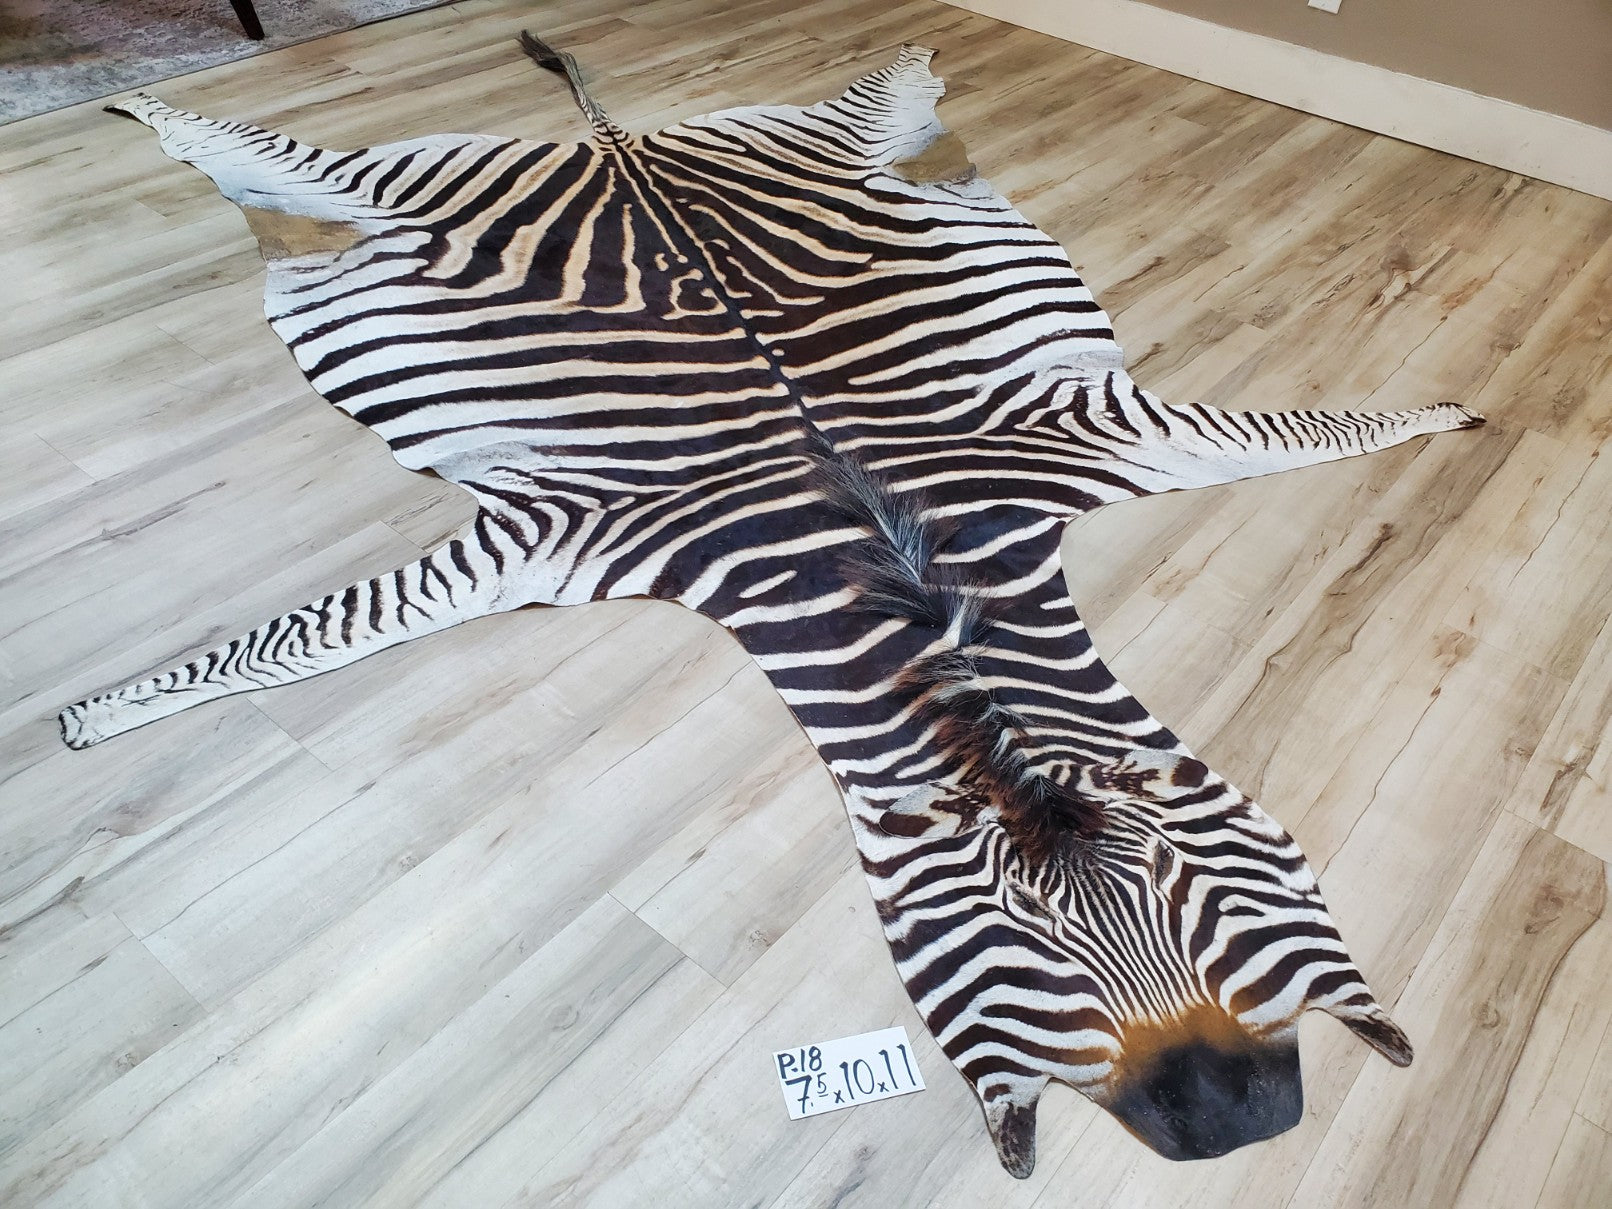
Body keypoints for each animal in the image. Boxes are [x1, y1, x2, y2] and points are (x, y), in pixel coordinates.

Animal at [62, 37, 1483, 1175]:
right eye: (1023, 948)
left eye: (1204, 903)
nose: (1242, 1126)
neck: (914, 590)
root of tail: (622, 143)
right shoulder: (563, 538)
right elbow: (288, 644)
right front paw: (89, 717)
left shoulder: (1093, 441)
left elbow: (1316, 427)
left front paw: (1445, 412)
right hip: (381, 200)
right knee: (267, 159)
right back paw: (136, 101)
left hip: (853, 151)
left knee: (892, 91)